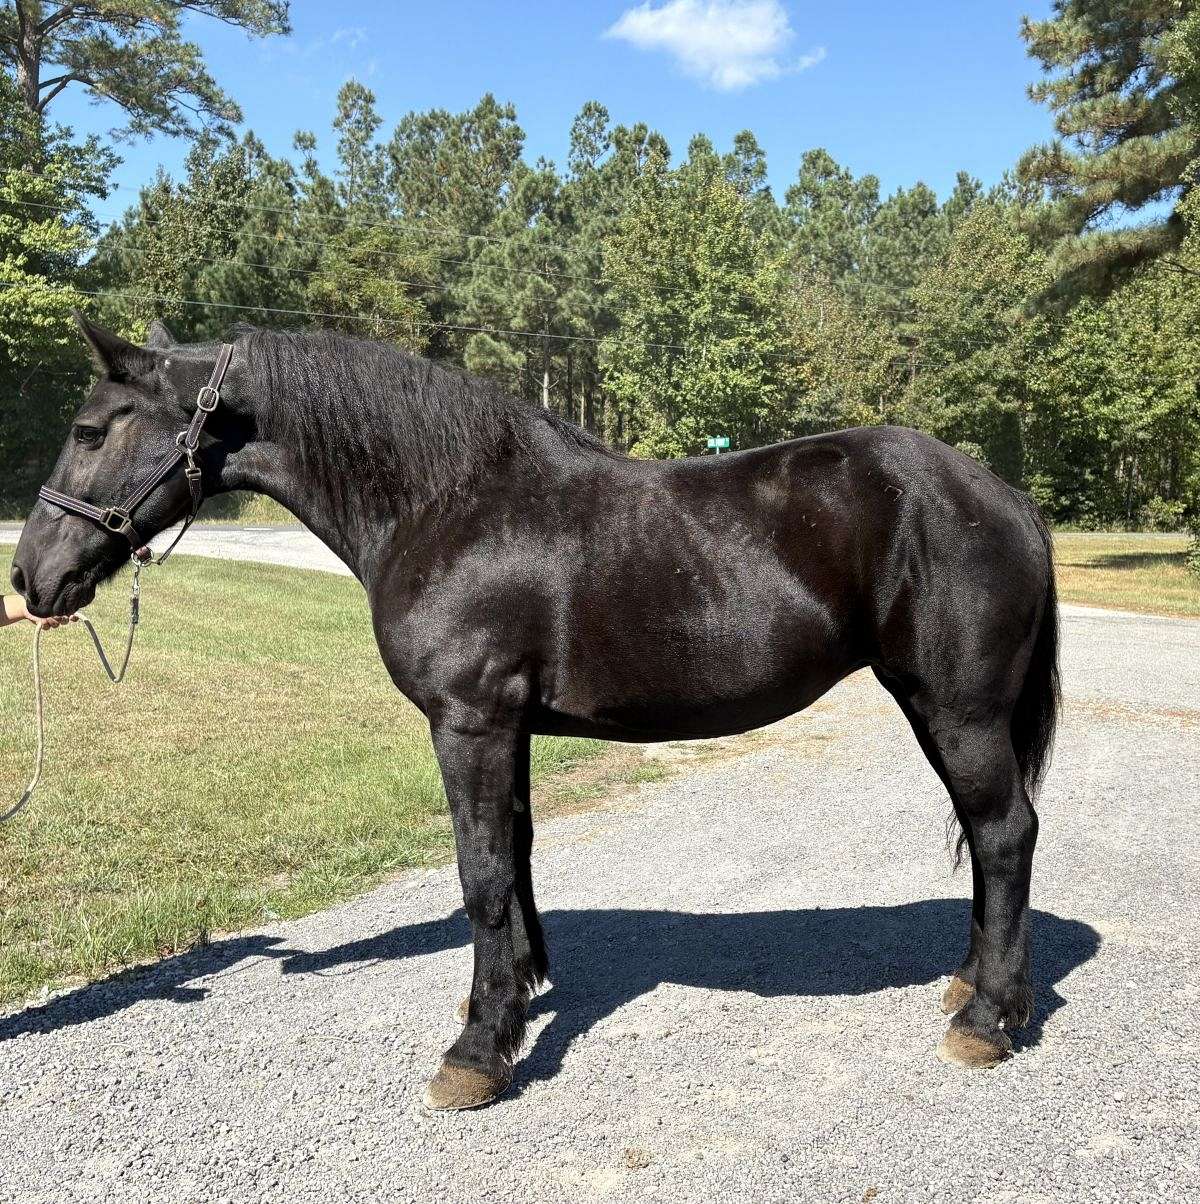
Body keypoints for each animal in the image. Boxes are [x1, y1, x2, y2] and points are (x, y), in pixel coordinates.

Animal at [11, 315, 1059, 1111]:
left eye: (94, 429)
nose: (30, 578)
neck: (444, 504)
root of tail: (1003, 494)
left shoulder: (468, 721)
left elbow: (479, 875)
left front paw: (475, 1054)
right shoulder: (503, 728)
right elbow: (511, 861)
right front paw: (514, 999)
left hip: (957, 707)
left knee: (1005, 831)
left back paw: (985, 1020)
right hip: (933, 704)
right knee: (988, 833)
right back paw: (974, 984)